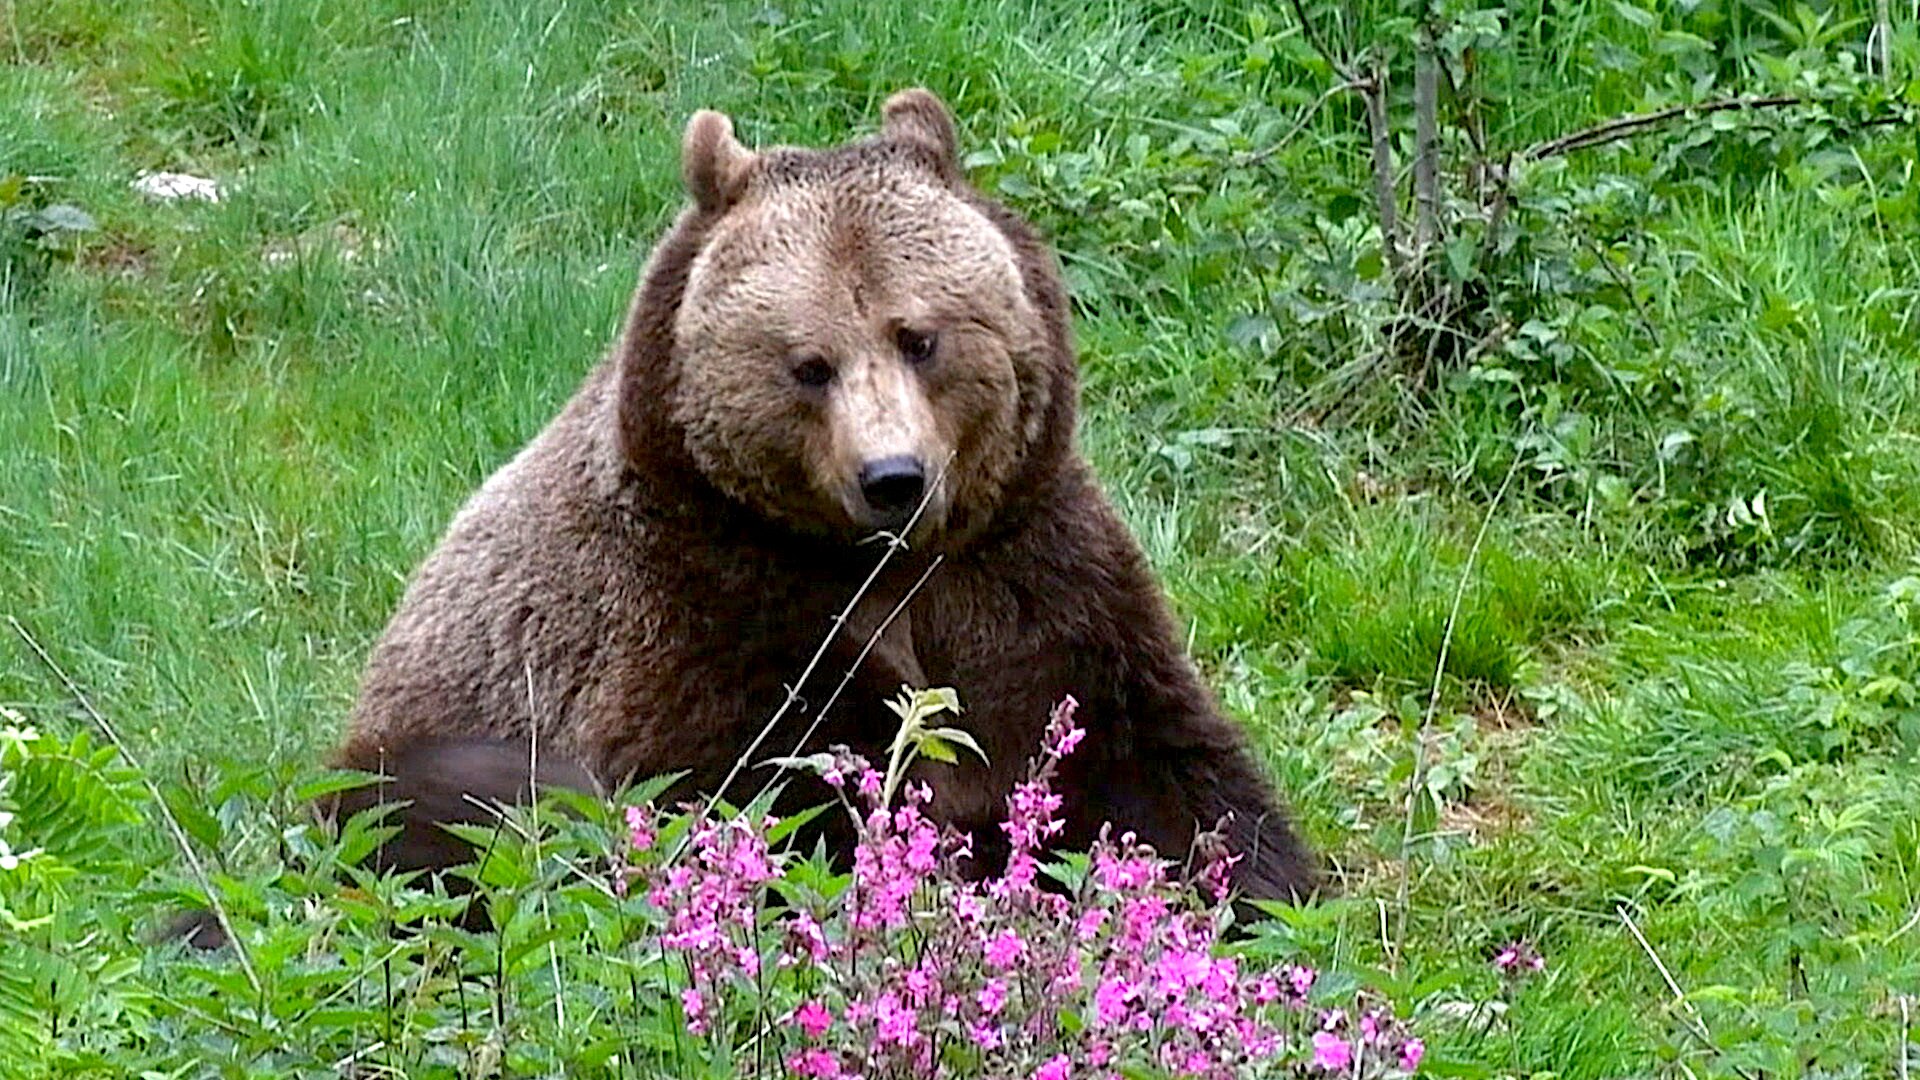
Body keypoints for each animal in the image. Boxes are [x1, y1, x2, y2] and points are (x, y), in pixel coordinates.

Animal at [330, 89, 1319, 907]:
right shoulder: (703, 609)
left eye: (920, 336)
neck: (886, 569)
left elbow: (1163, 768)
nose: (894, 478)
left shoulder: (1031, 575)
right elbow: (775, 799)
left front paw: (1251, 893)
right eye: (809, 363)